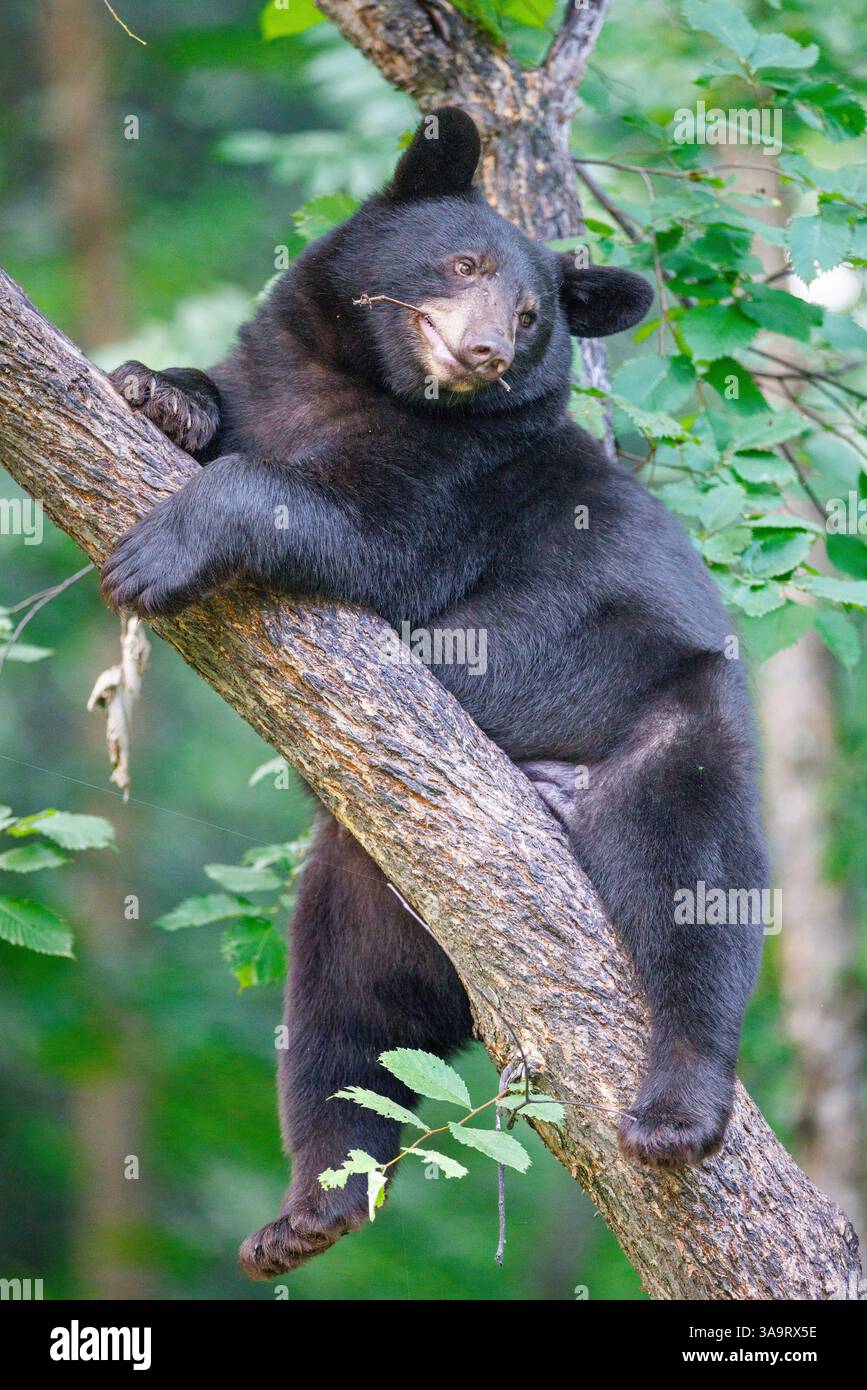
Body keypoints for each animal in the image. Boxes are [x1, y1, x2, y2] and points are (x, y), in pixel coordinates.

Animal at [101, 108, 768, 1278]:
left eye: (533, 312)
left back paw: (677, 1108)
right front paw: (156, 390)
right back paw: (310, 1207)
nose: (486, 350)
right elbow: (222, 407)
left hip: (674, 727)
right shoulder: (273, 375)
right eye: (462, 263)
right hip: (368, 880)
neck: (362, 388)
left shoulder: (463, 479)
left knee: (699, 890)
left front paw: (161, 551)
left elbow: (362, 533)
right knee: (346, 1017)